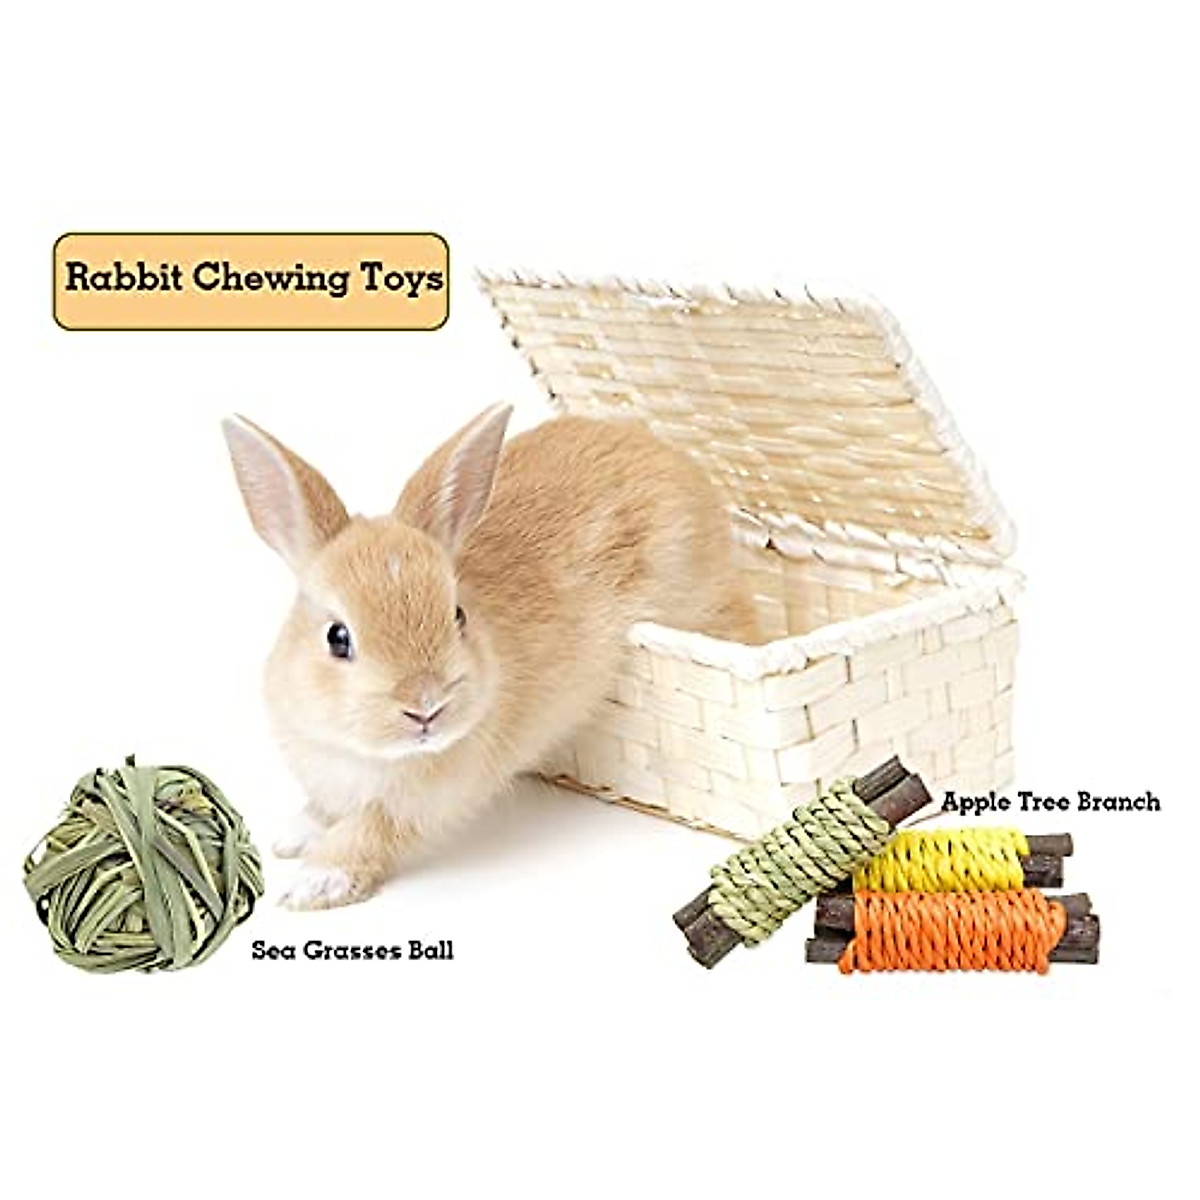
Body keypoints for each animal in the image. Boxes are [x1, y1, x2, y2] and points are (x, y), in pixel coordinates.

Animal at [221, 404, 758, 910]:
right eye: (338, 637)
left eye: (457, 615)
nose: (425, 706)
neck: (363, 751)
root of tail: (677, 463)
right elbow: (323, 808)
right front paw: (292, 834)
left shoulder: (412, 808)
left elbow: (365, 834)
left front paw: (312, 884)